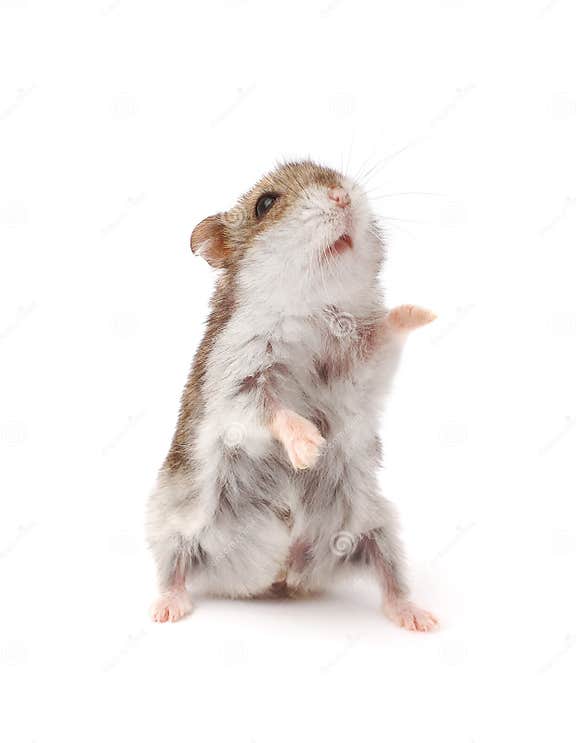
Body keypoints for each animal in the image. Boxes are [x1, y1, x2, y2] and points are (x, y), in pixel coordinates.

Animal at [146, 160, 438, 631]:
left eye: (334, 174)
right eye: (266, 204)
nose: (341, 195)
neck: (316, 307)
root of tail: (276, 577)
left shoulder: (363, 372)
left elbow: (384, 337)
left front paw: (423, 312)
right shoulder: (240, 378)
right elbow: (274, 411)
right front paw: (309, 449)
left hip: (378, 529)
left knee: (391, 581)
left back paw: (419, 618)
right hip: (173, 528)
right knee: (175, 569)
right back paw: (166, 610)